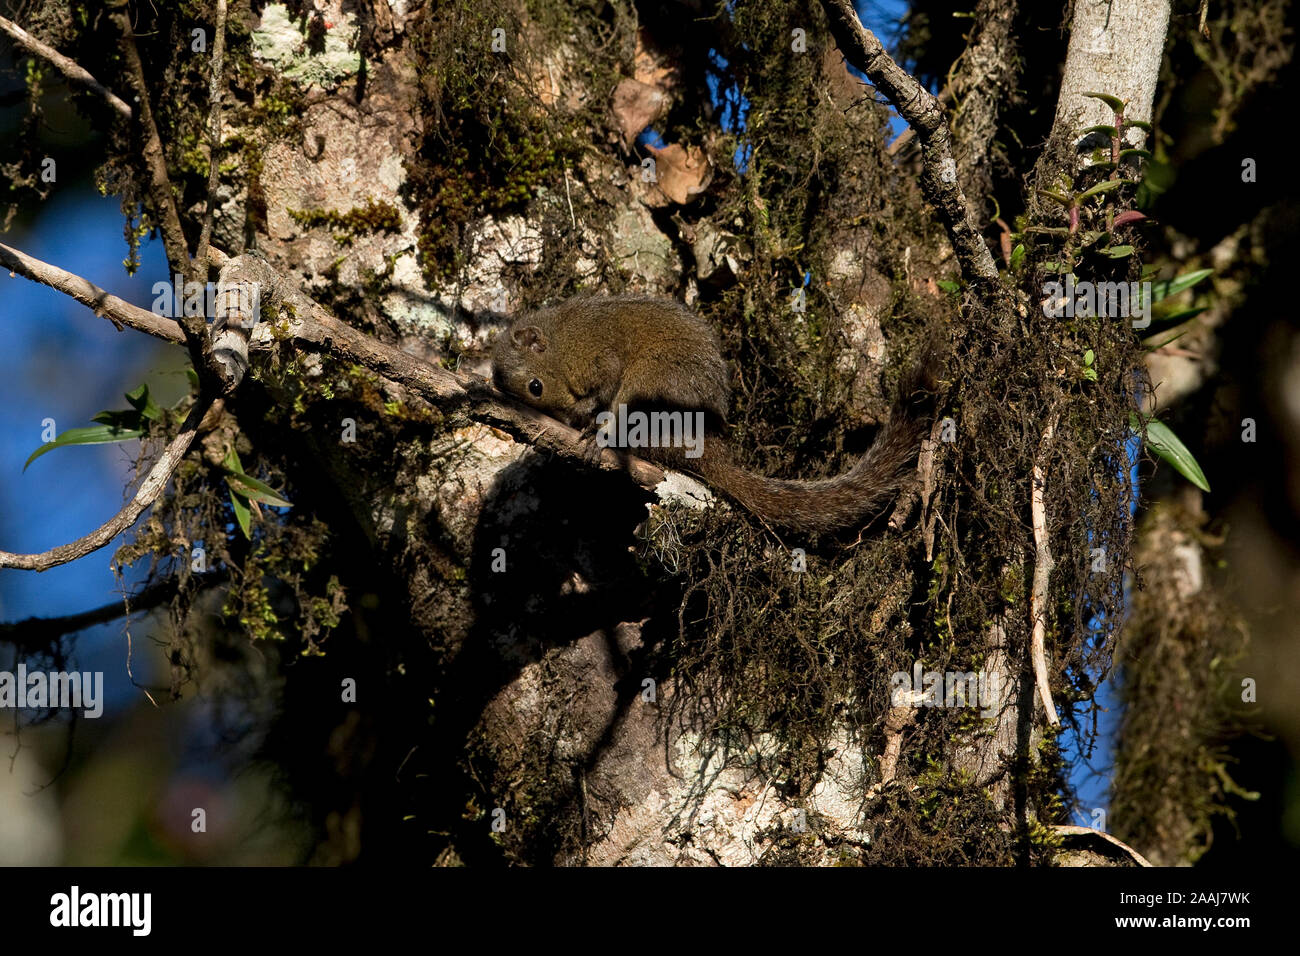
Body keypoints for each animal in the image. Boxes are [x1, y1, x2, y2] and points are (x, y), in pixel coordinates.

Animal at [492, 294, 939, 534]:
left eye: (536, 387)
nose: (565, 416)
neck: (560, 342)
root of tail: (713, 449)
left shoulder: (595, 353)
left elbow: (606, 380)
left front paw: (587, 416)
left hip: (654, 380)